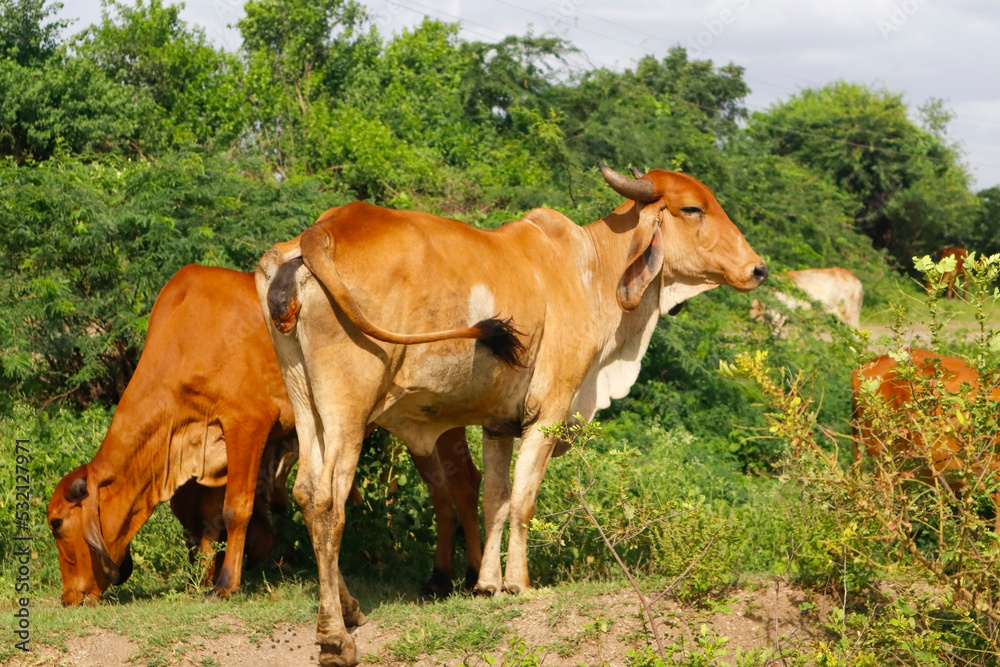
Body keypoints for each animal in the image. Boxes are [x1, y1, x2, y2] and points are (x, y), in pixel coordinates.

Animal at [47, 265, 482, 607]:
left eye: (56, 523)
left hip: (446, 420)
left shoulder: (247, 424)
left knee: (463, 484)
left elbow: (234, 509)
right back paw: (440, 580)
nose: (69, 596)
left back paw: (475, 578)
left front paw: (225, 584)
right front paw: (203, 578)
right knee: (441, 492)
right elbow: (209, 520)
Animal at [255, 163, 767, 665]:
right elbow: (523, 501)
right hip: (348, 407)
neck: (590, 270)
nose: (758, 269)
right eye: (692, 208)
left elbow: (494, 500)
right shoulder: (547, 413)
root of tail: (319, 233)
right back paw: (335, 638)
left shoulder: (497, 424)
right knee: (329, 501)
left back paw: (350, 610)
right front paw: (519, 583)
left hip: (308, 402)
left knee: (306, 493)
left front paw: (486, 584)